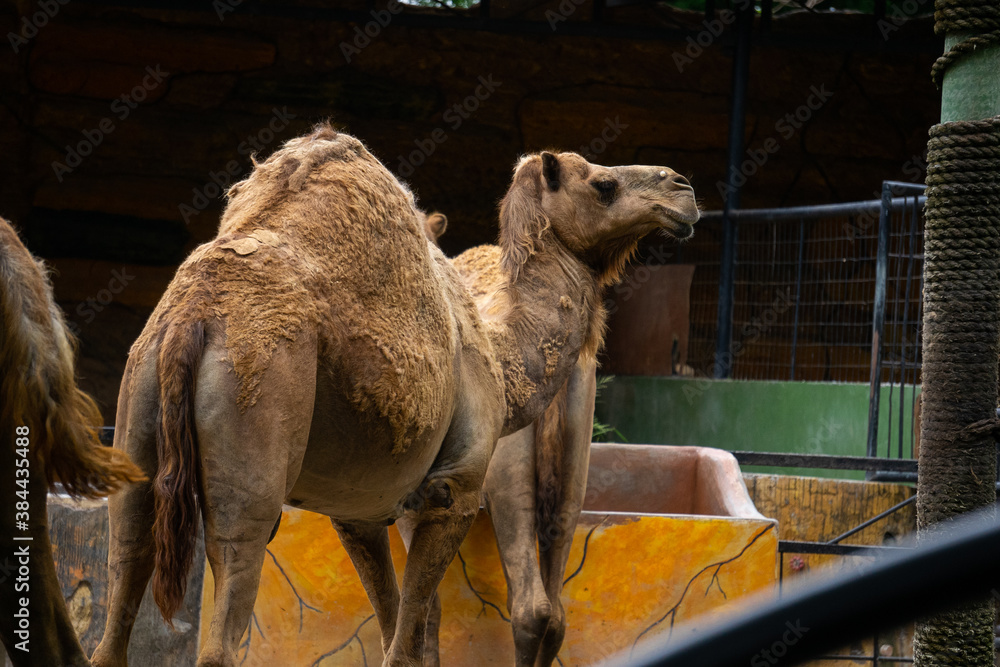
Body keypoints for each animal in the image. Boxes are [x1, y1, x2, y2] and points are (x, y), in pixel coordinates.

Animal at [91, 124, 698, 667]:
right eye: (602, 184)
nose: (683, 188)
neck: (501, 361)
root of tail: (189, 320)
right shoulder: (453, 487)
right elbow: (411, 638)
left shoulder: (357, 508)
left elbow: (396, 627)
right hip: (255, 418)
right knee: (231, 586)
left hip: (138, 413)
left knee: (125, 563)